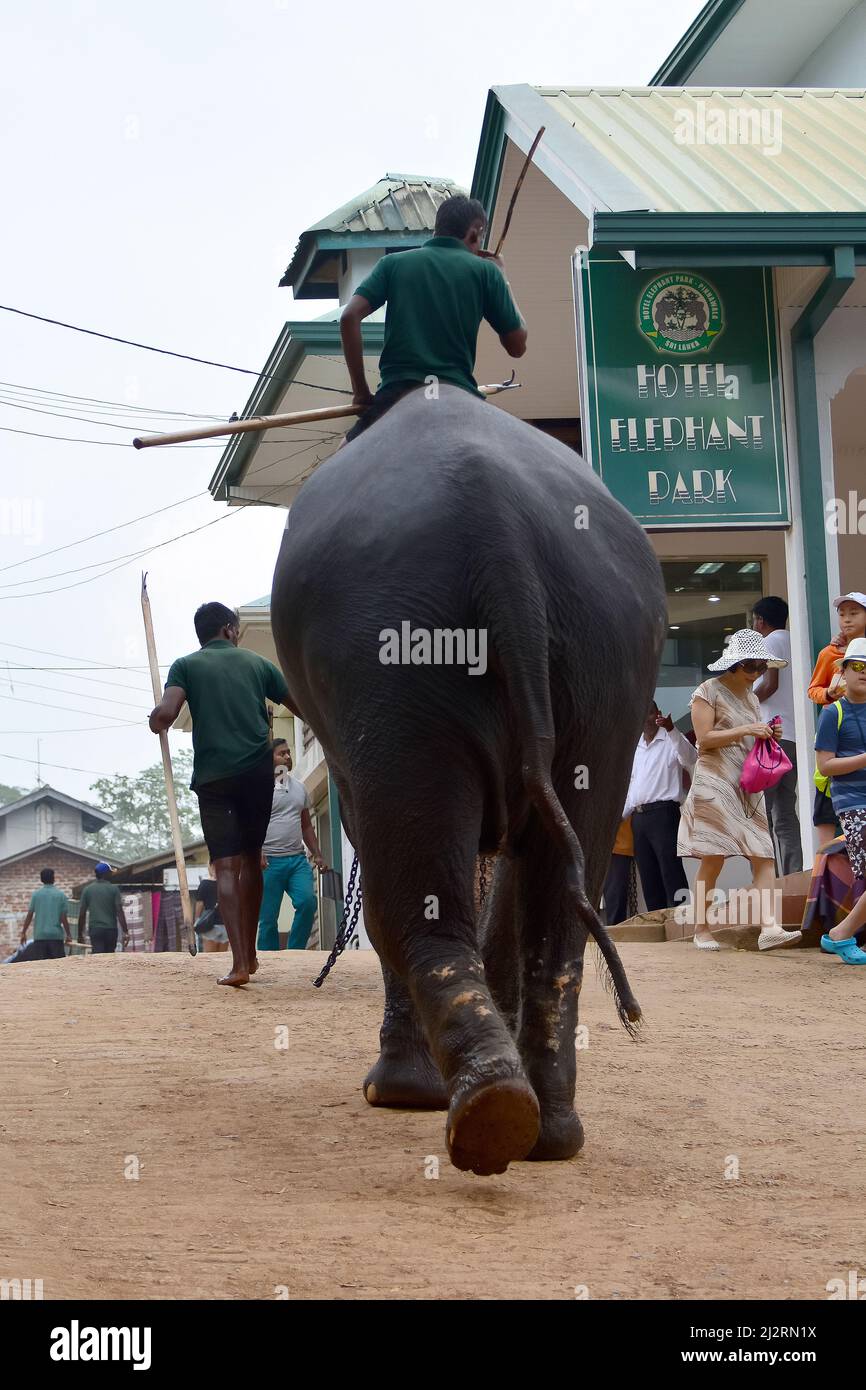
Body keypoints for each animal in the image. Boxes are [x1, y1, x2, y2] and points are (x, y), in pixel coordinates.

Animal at [271, 385, 667, 1176]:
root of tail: (499, 532)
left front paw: (399, 1097)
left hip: (396, 660)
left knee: (404, 898)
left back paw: (472, 1111)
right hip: (606, 659)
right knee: (561, 887)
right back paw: (545, 1132)